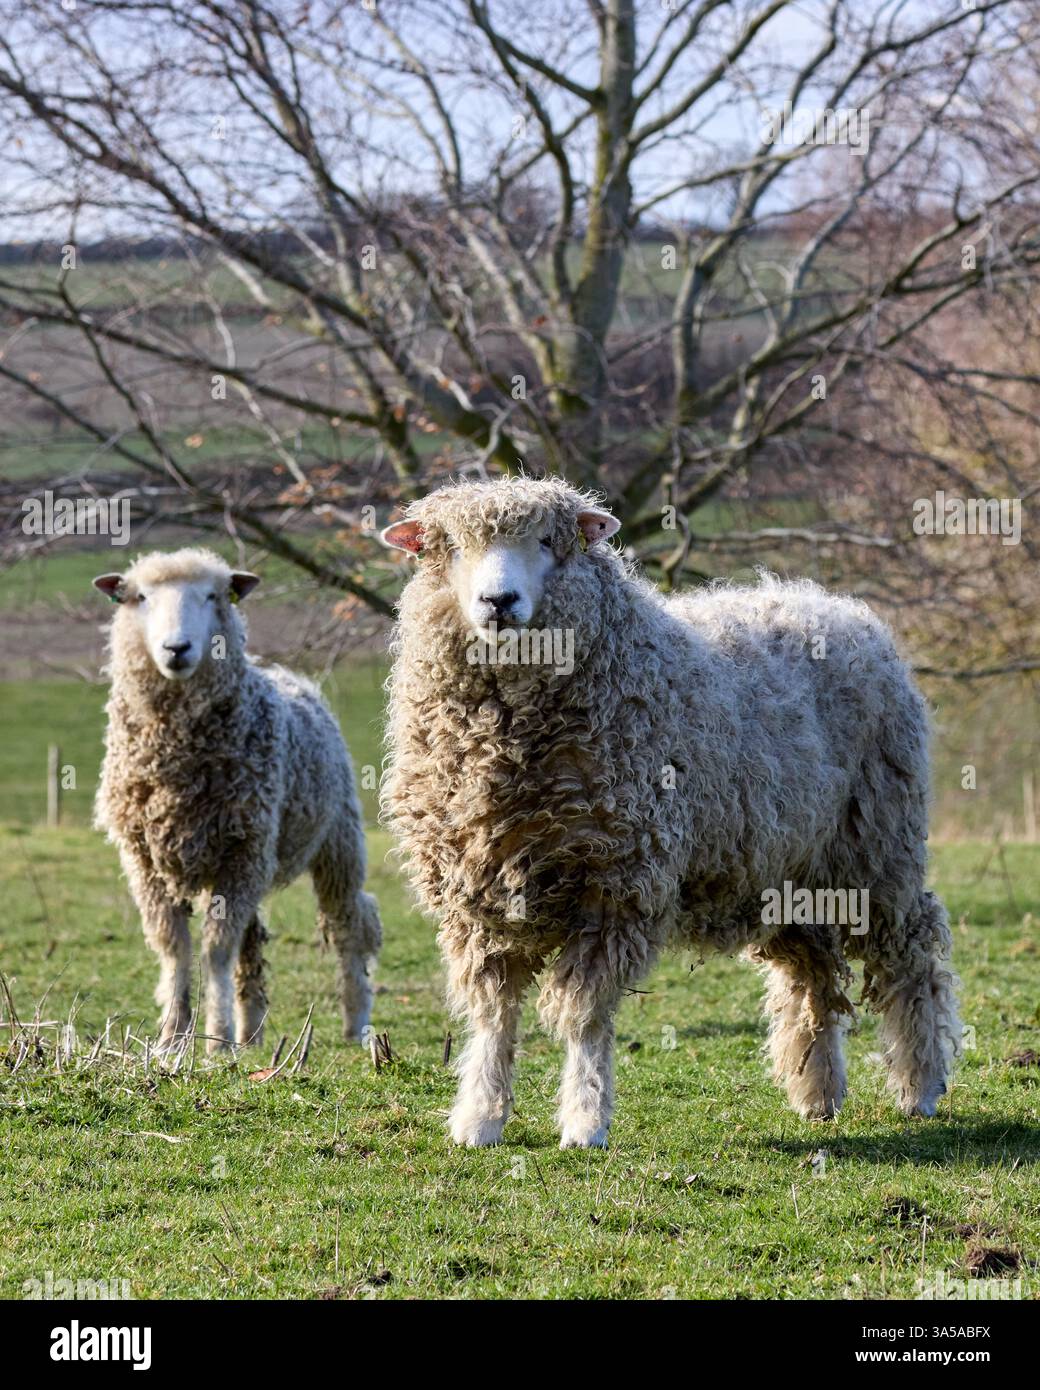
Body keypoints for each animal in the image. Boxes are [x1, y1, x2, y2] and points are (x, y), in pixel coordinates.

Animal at [92, 547, 381, 1054]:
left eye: (213, 596)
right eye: (140, 598)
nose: (176, 648)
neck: (178, 757)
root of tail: (292, 677)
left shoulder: (242, 851)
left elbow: (216, 950)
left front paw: (216, 1038)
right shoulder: (145, 858)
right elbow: (176, 947)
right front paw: (173, 1035)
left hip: (336, 841)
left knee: (350, 922)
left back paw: (356, 1021)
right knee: (253, 937)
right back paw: (253, 1030)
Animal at [381, 477, 960, 1149]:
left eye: (550, 542)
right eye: (448, 548)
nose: (498, 600)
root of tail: (839, 607)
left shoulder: (616, 882)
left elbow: (584, 1014)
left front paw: (585, 1120)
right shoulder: (478, 896)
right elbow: (494, 1013)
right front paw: (480, 1117)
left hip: (876, 846)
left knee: (909, 952)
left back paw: (920, 1086)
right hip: (790, 865)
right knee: (811, 971)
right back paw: (817, 1094)